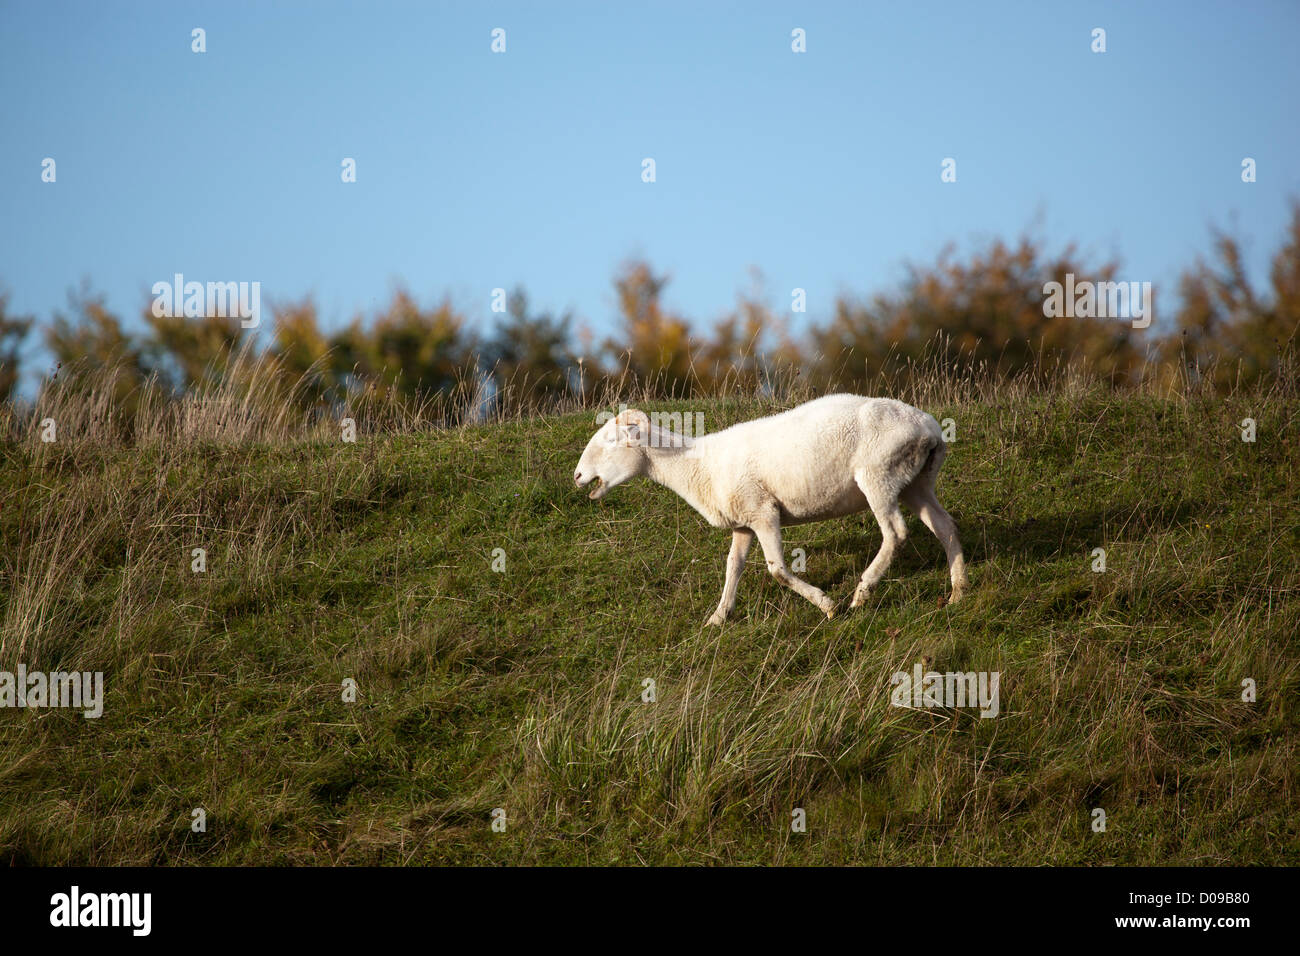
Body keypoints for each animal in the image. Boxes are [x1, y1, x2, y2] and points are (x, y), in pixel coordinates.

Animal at [573, 394, 968, 624]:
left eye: (611, 440)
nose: (577, 476)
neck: (697, 466)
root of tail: (929, 428)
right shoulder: (743, 522)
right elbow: (733, 567)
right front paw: (719, 616)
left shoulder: (763, 511)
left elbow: (777, 570)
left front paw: (827, 605)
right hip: (916, 481)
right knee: (946, 527)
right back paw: (957, 592)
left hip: (878, 474)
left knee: (896, 533)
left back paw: (862, 593)